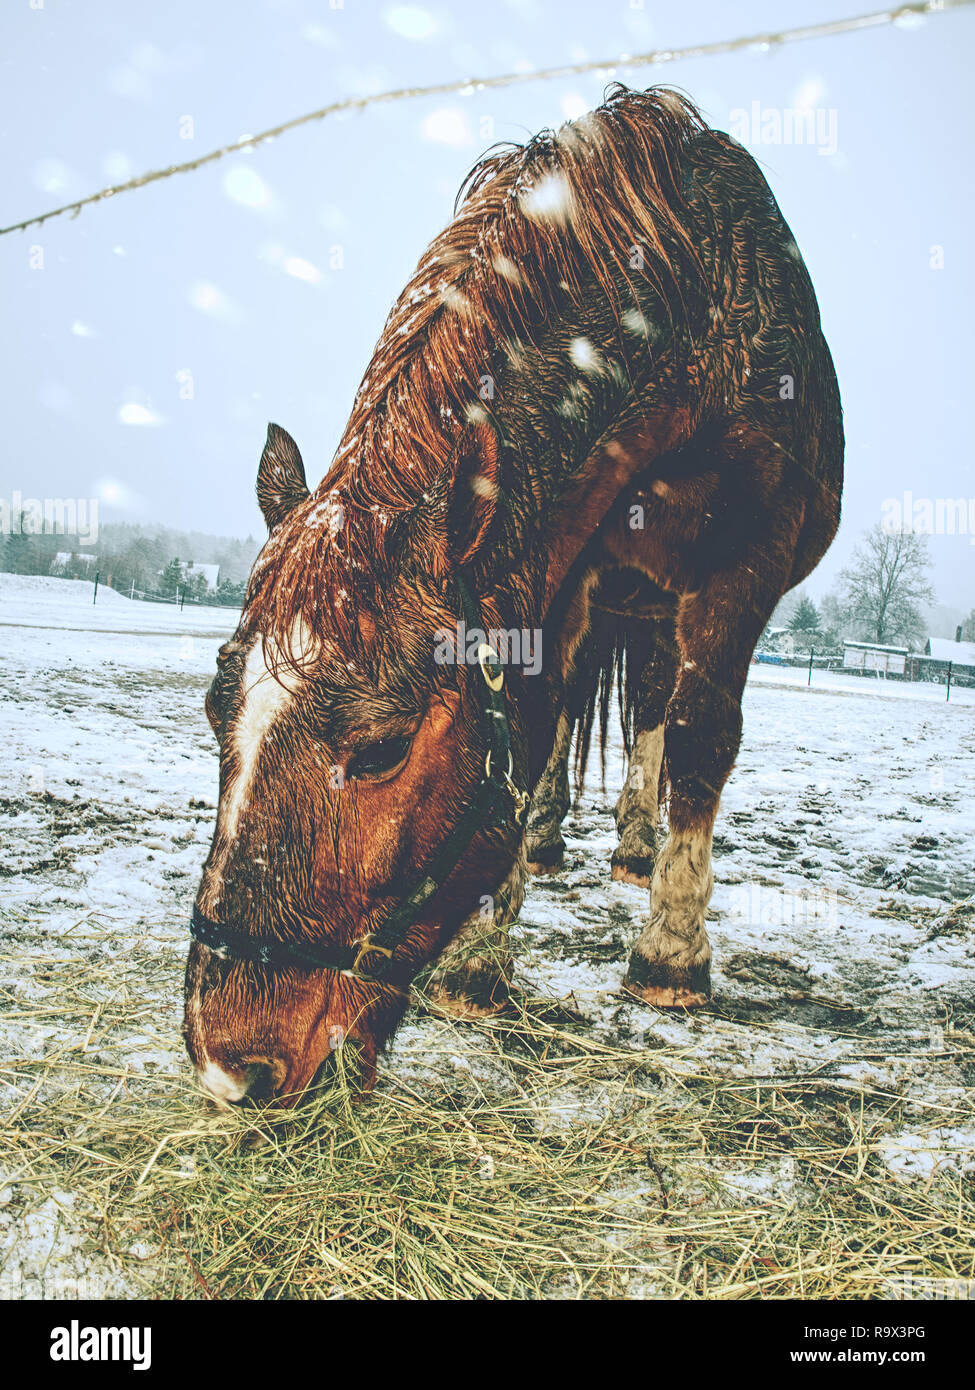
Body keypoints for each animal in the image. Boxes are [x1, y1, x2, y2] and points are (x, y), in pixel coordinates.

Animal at [184, 85, 843, 1104]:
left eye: (381, 749)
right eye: (217, 714)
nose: (228, 1060)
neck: (694, 322)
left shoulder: (745, 560)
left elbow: (699, 740)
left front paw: (671, 954)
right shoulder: (554, 569)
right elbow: (535, 735)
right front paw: (478, 961)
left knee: (656, 711)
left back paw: (636, 853)